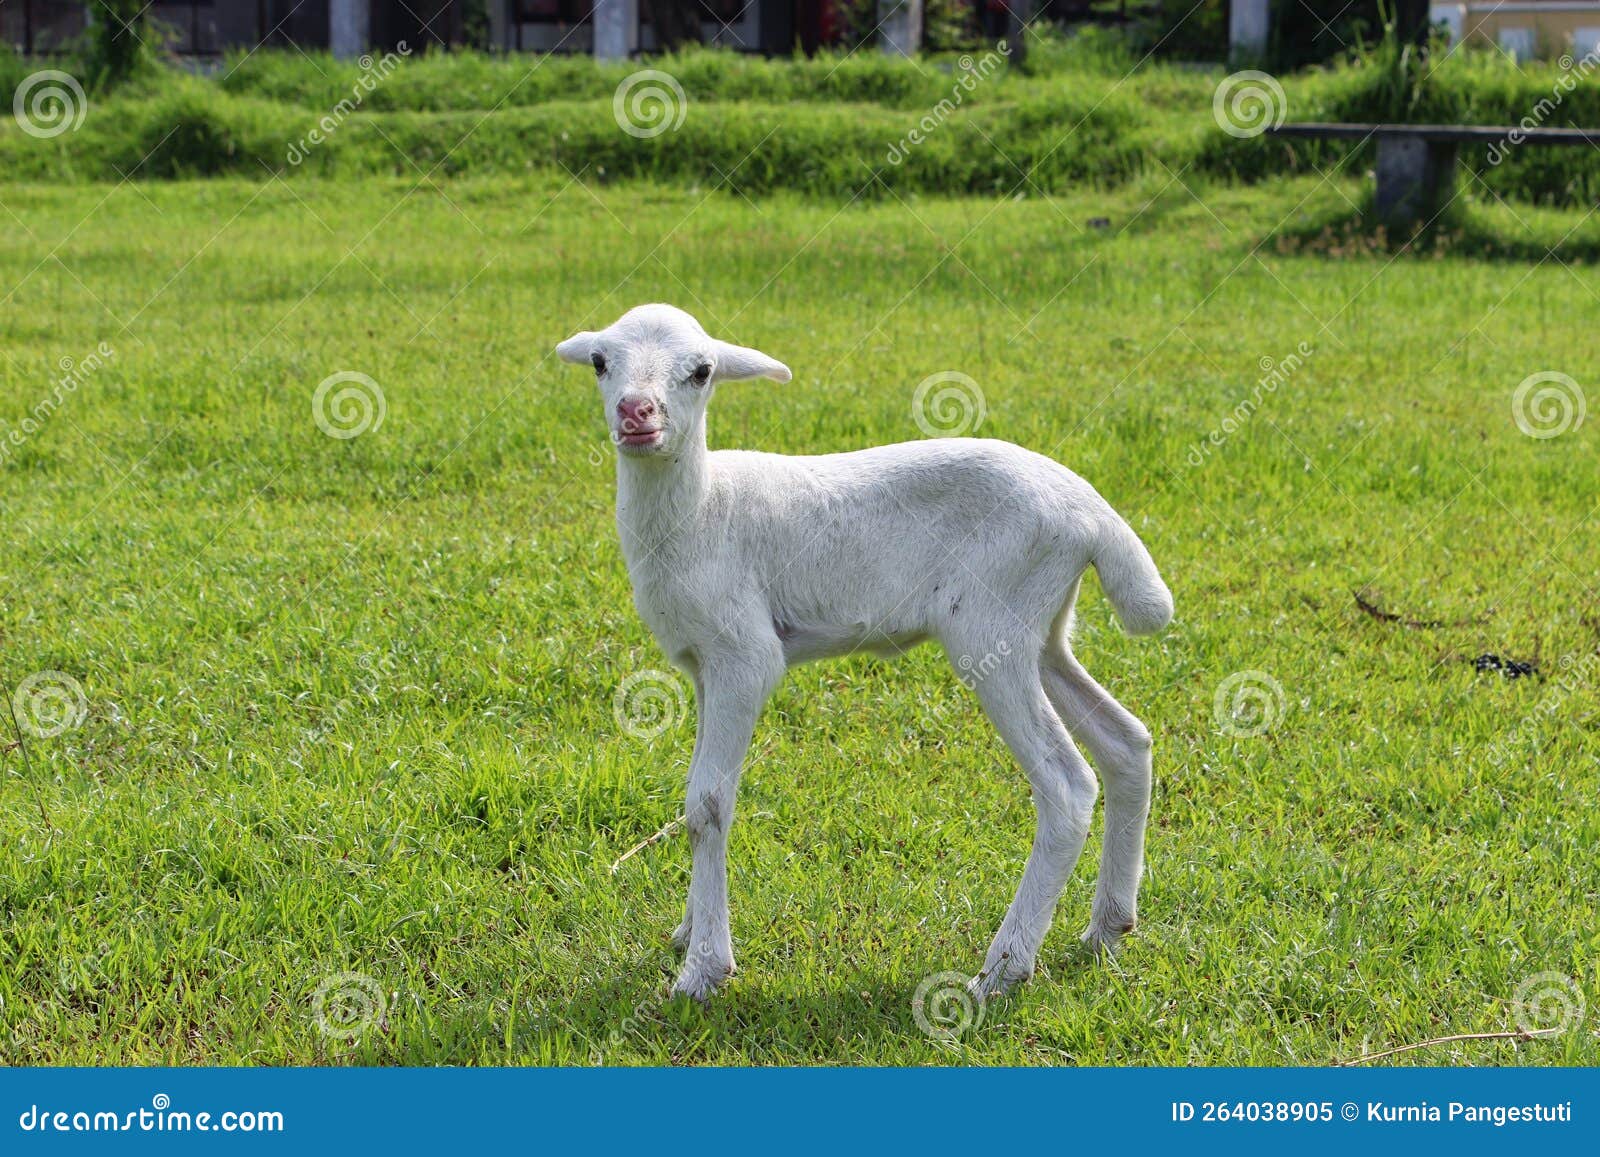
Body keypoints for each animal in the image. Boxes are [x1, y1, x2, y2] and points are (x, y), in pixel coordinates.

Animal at [557, 303, 1173, 1002]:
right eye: (601, 362)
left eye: (703, 370)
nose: (636, 413)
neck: (702, 508)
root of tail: (1093, 513)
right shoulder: (702, 666)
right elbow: (697, 793)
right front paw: (689, 932)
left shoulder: (744, 655)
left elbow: (708, 804)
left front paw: (703, 970)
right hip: (1040, 628)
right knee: (1126, 742)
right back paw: (1108, 927)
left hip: (992, 627)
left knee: (1067, 787)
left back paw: (1003, 968)